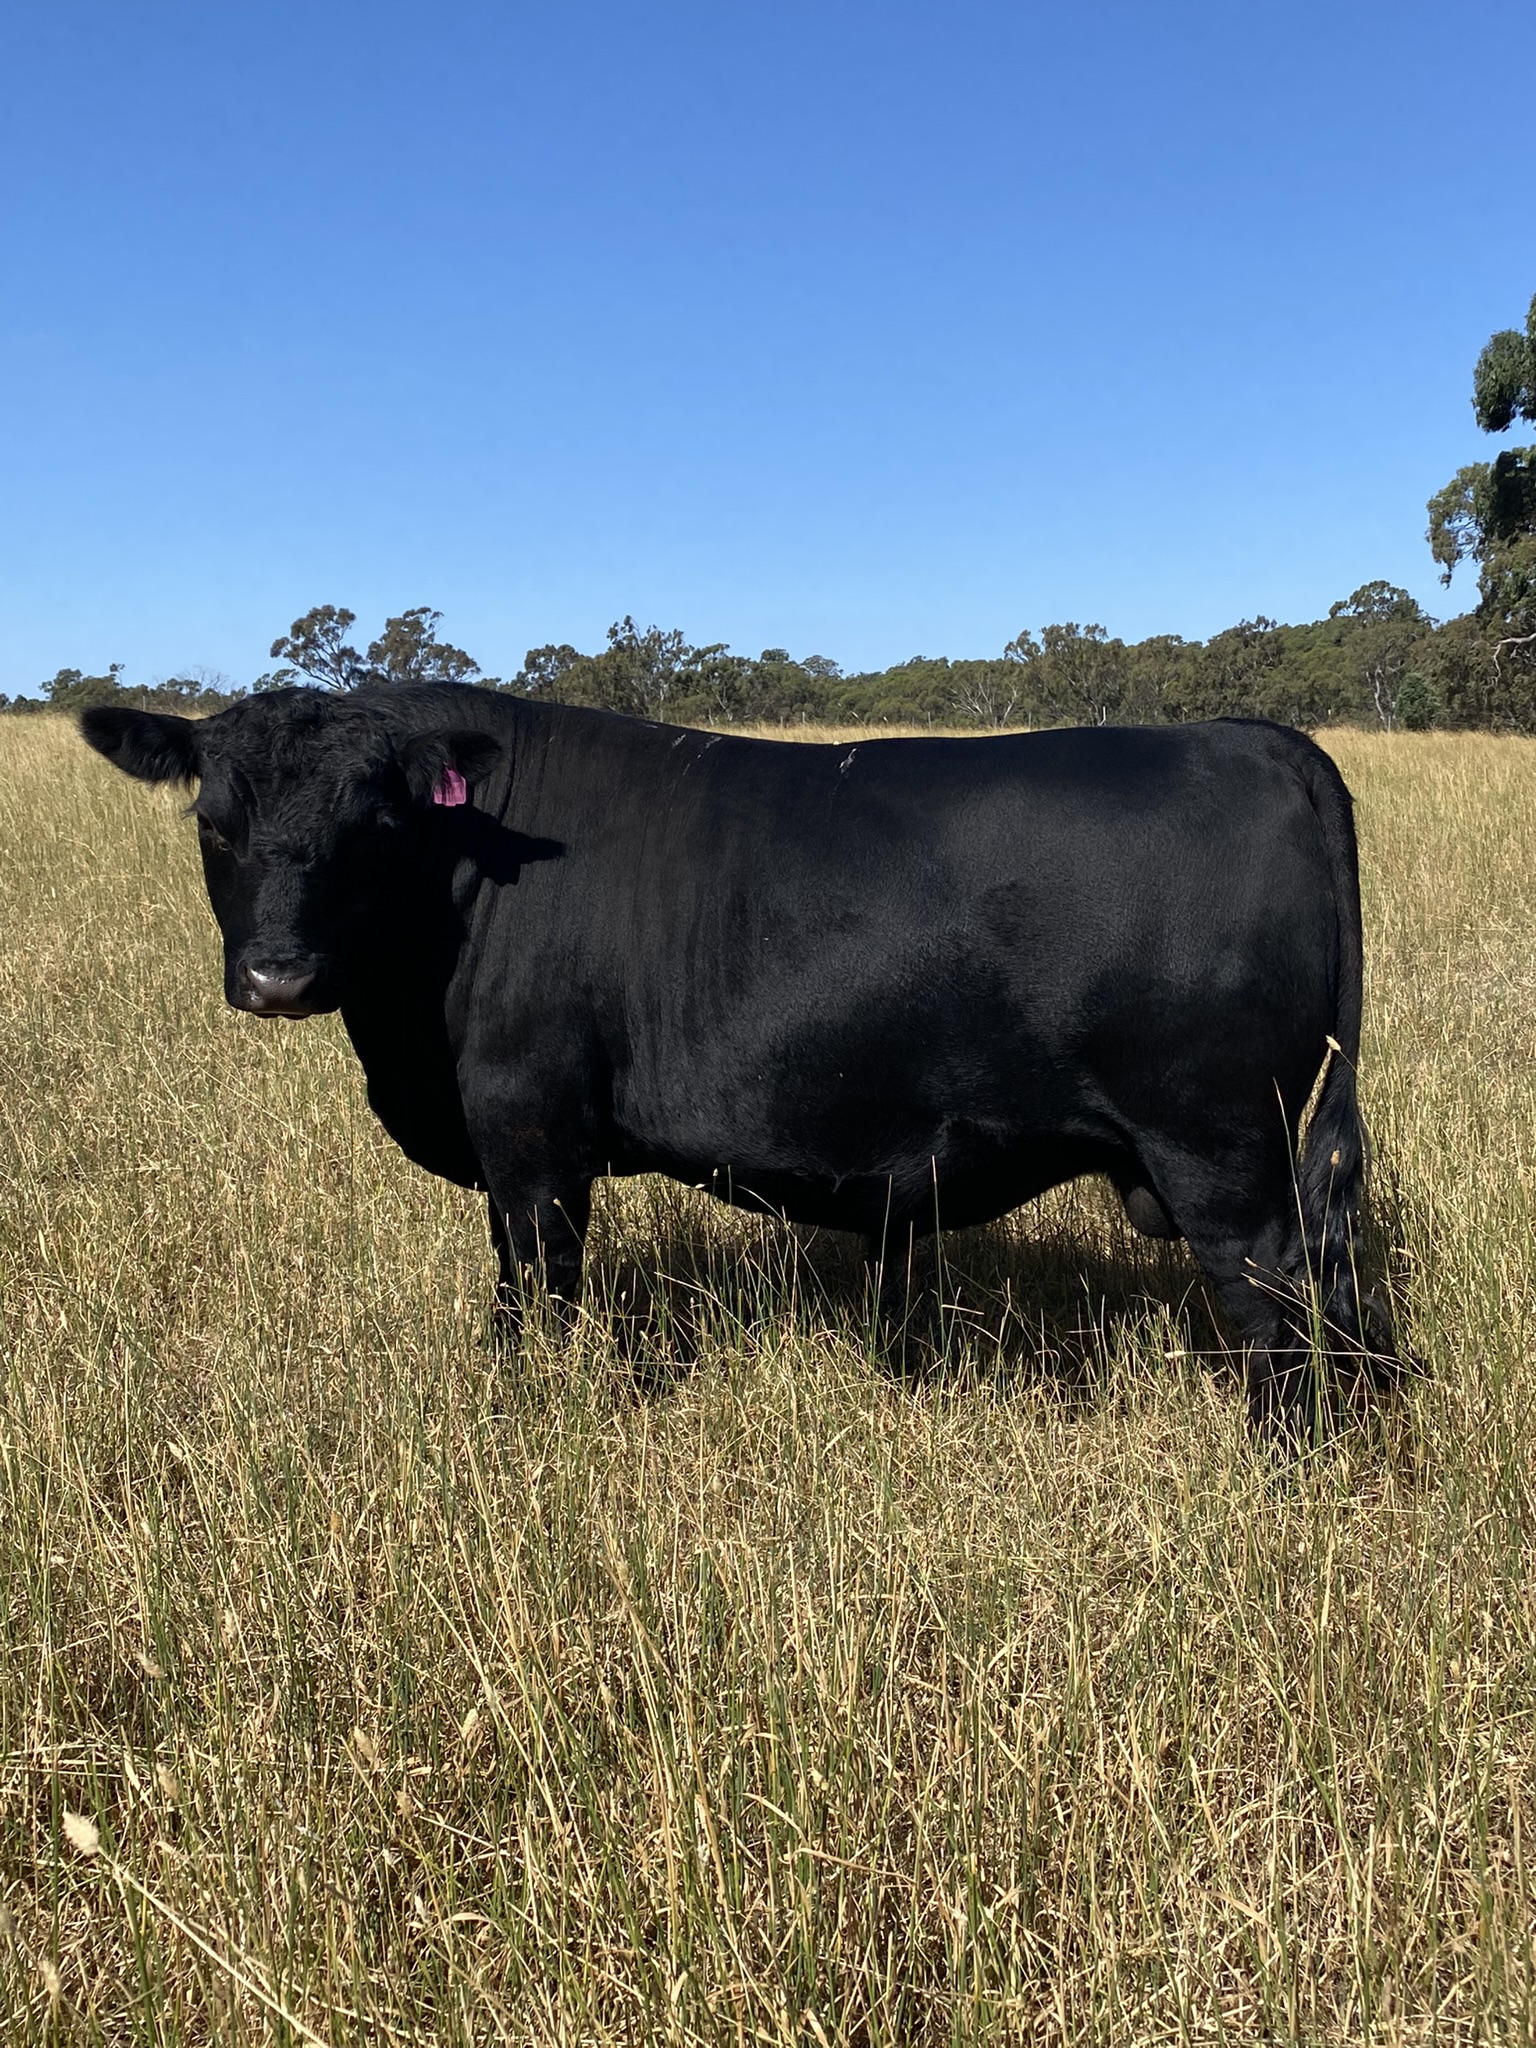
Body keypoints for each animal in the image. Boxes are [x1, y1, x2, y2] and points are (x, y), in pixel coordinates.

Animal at [81, 687, 1396, 1438]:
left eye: (374, 819)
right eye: (213, 823)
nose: (279, 977)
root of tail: (1252, 739)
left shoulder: (529, 1132)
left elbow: (533, 1295)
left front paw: (523, 1423)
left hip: (1219, 1149)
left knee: (1276, 1310)